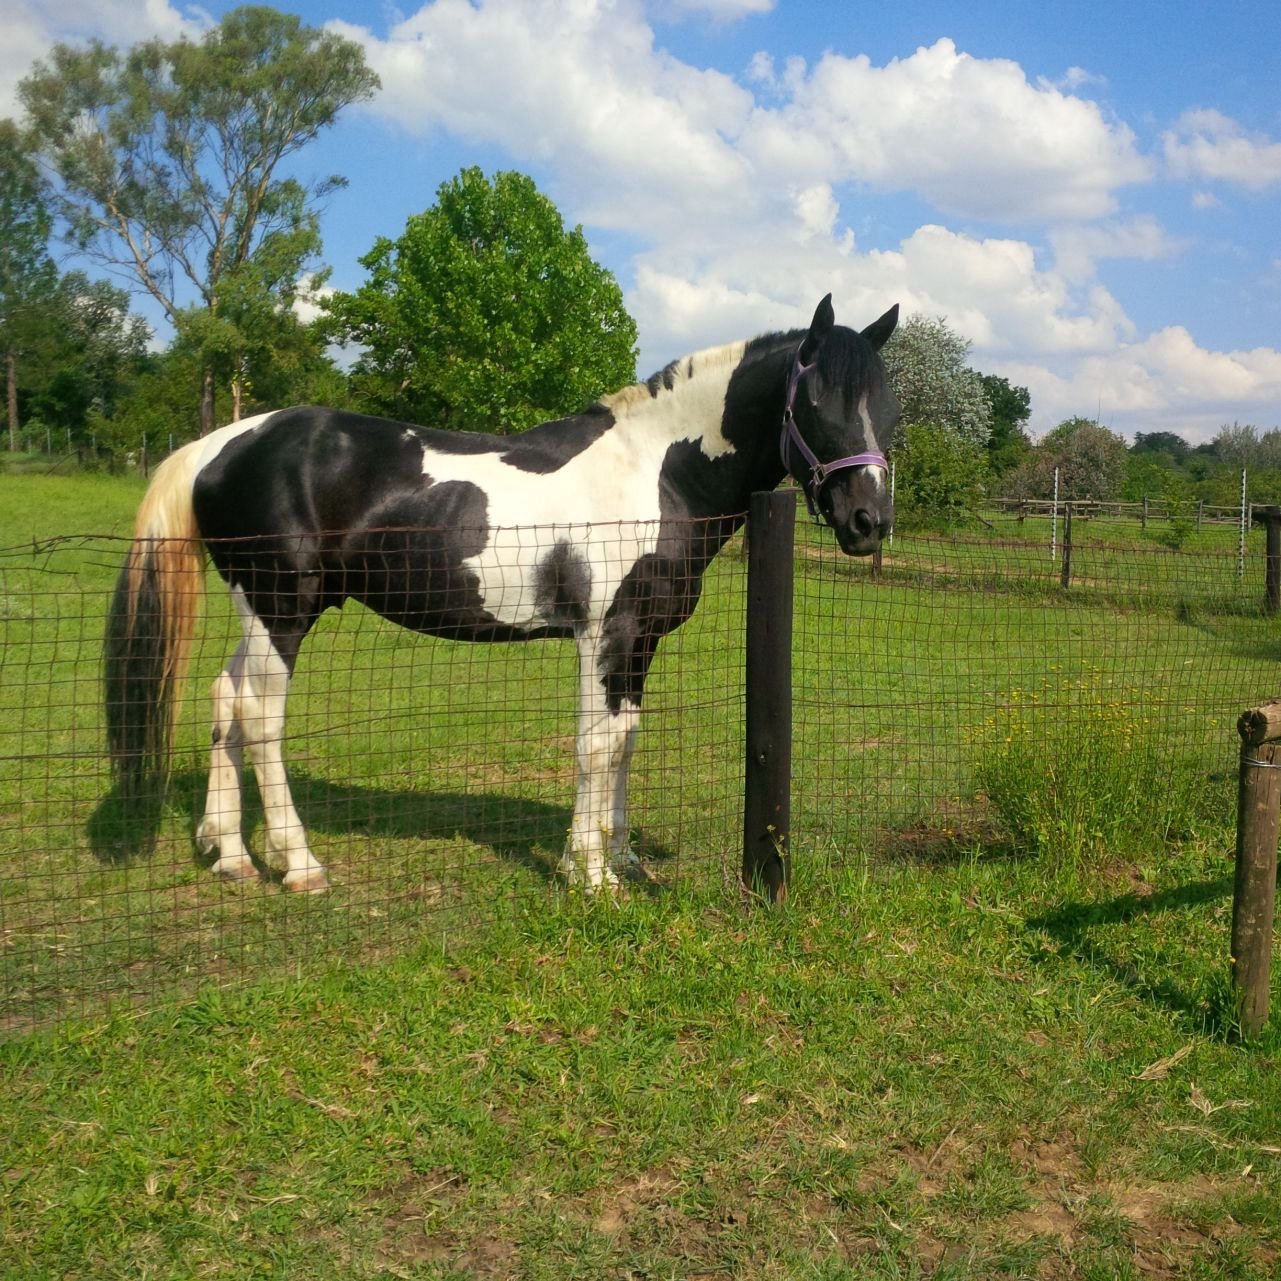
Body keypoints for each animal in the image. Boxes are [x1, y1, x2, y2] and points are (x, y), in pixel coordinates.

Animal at [104, 294, 900, 893]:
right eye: (817, 401)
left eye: (888, 405)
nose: (869, 522)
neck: (658, 472)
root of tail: (218, 445)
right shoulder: (604, 635)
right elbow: (595, 746)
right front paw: (590, 876)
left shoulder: (640, 640)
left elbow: (626, 742)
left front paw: (622, 859)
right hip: (282, 611)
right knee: (261, 716)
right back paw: (299, 864)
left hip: (265, 614)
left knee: (224, 698)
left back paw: (231, 853)